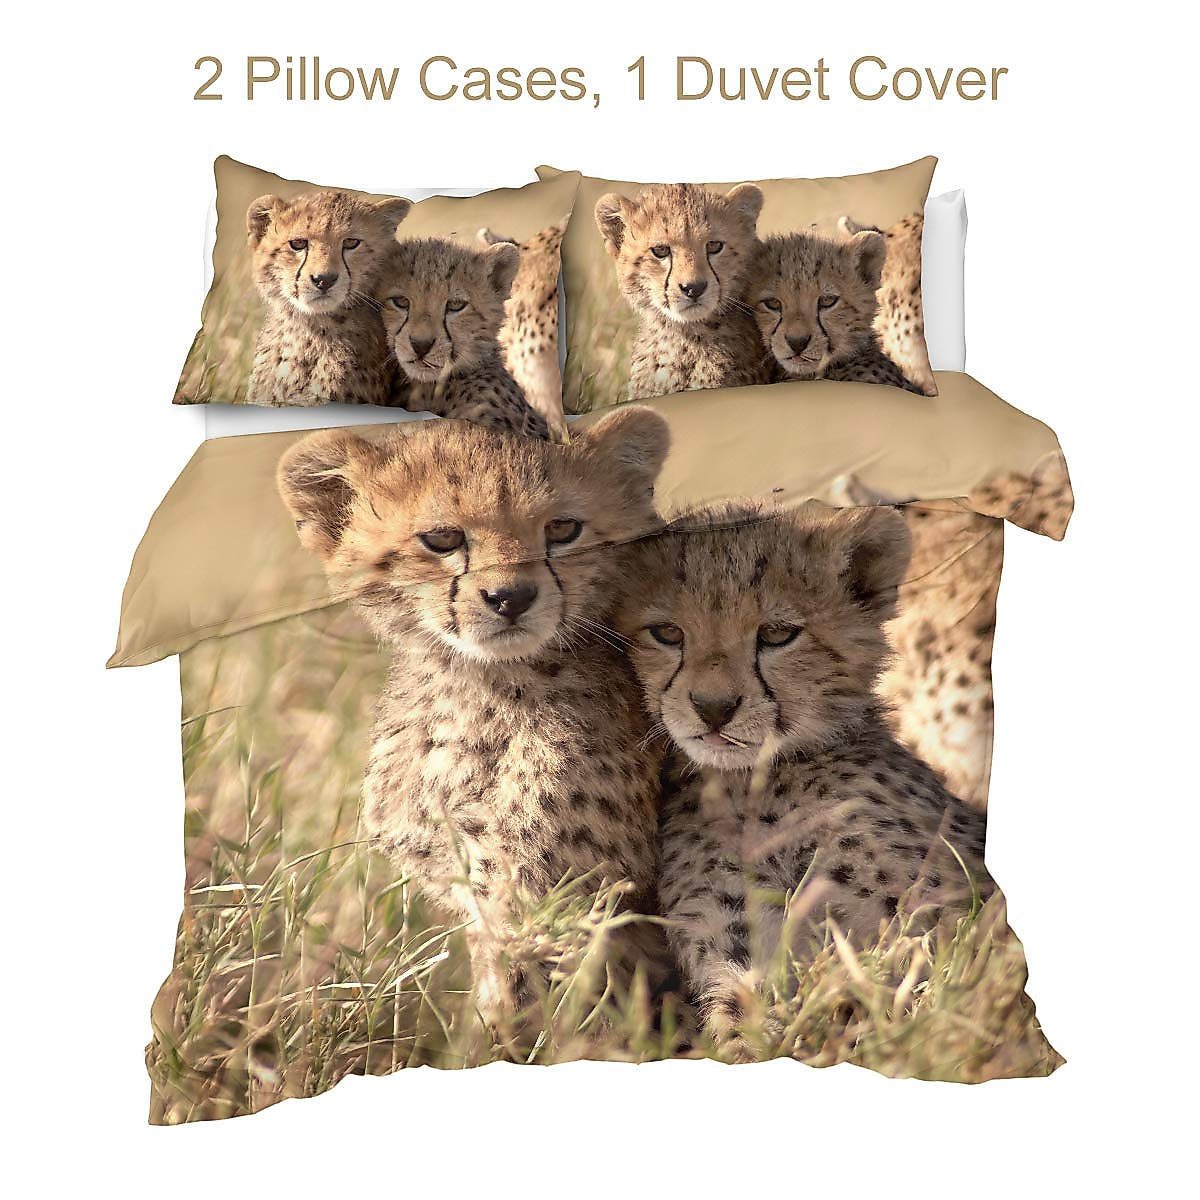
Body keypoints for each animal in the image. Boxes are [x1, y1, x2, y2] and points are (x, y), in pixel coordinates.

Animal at [617, 503, 990, 1058]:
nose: (713, 708)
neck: (756, 786)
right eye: (667, 633)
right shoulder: (733, 937)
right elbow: (742, 1020)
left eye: (776, 634)